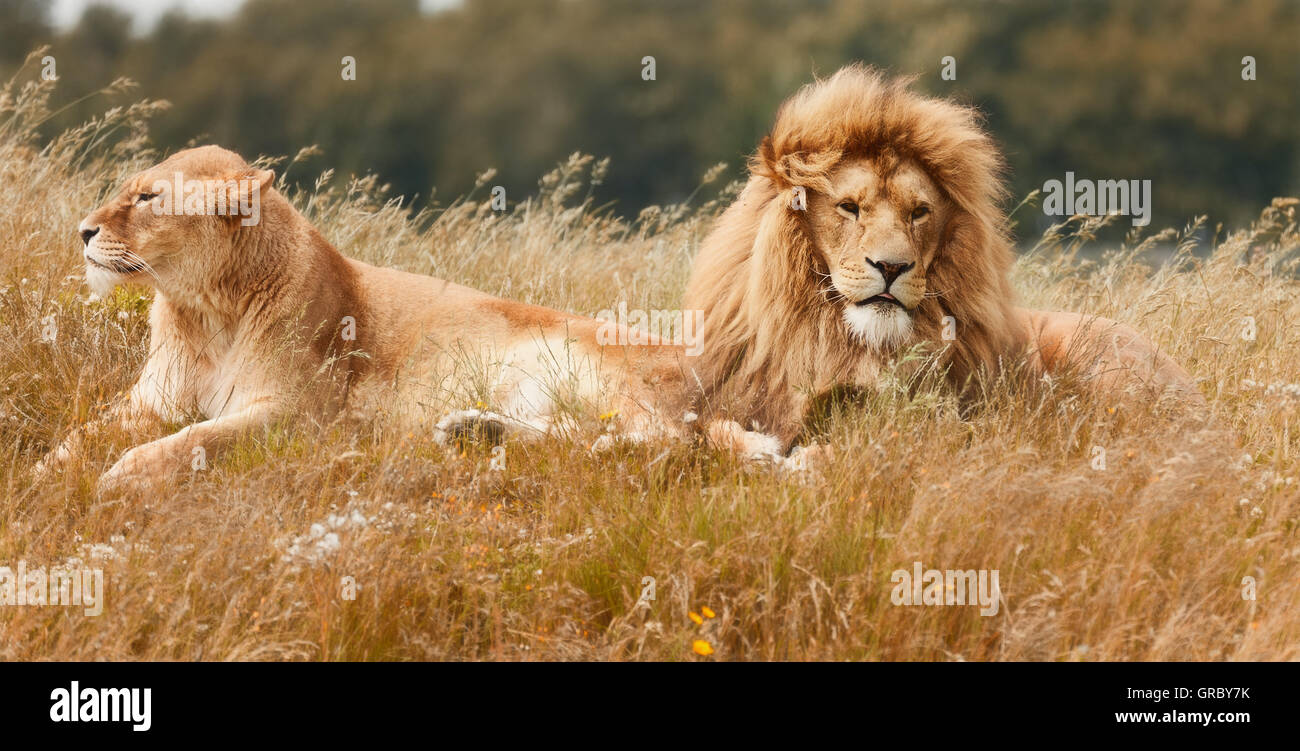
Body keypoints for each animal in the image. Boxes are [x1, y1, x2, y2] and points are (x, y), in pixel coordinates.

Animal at [36, 146, 779, 493]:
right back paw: (472, 431)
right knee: (572, 435)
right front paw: (46, 473)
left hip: (579, 360)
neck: (206, 308)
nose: (82, 230)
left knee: (666, 442)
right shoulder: (152, 400)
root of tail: (705, 367)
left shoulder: (297, 414)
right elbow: (84, 433)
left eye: (148, 198)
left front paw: (120, 477)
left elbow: (193, 441)